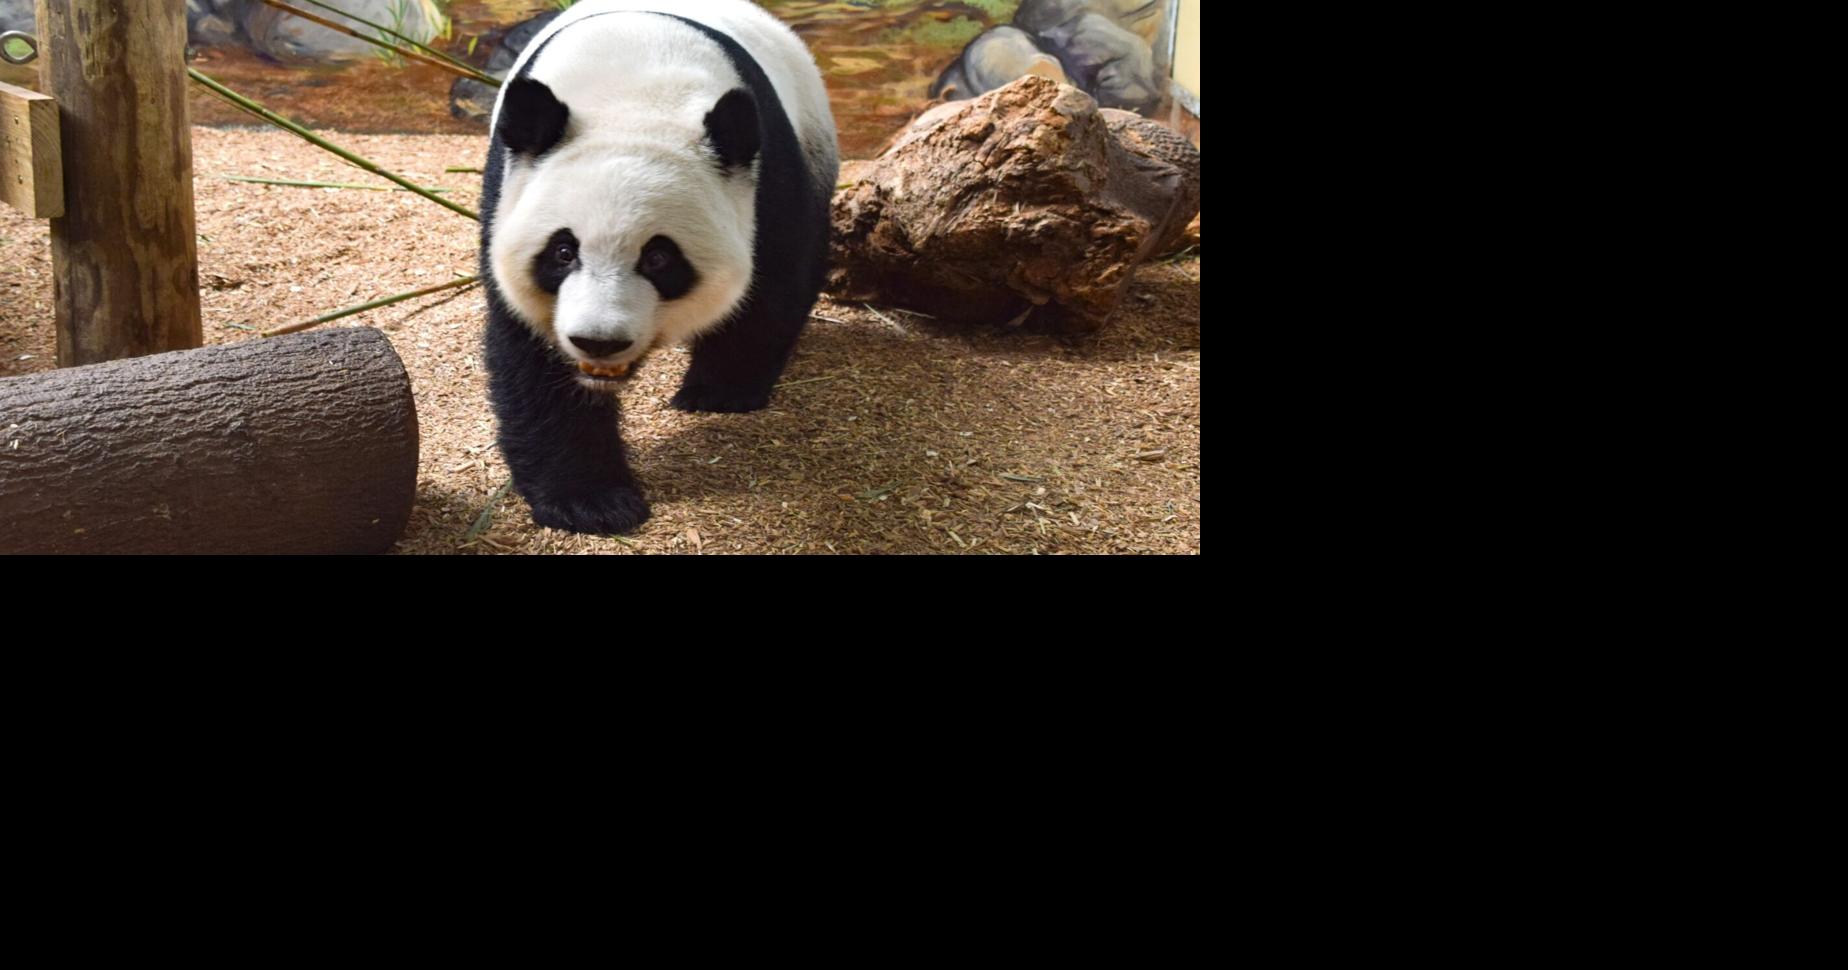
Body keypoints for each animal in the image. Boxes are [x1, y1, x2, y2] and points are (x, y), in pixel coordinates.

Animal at [479, 0, 839, 535]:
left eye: (659, 258)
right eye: (563, 252)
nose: (599, 342)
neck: (631, 95)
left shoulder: (766, 170)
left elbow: (774, 278)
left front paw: (720, 393)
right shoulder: (507, 194)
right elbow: (531, 356)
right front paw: (589, 501)